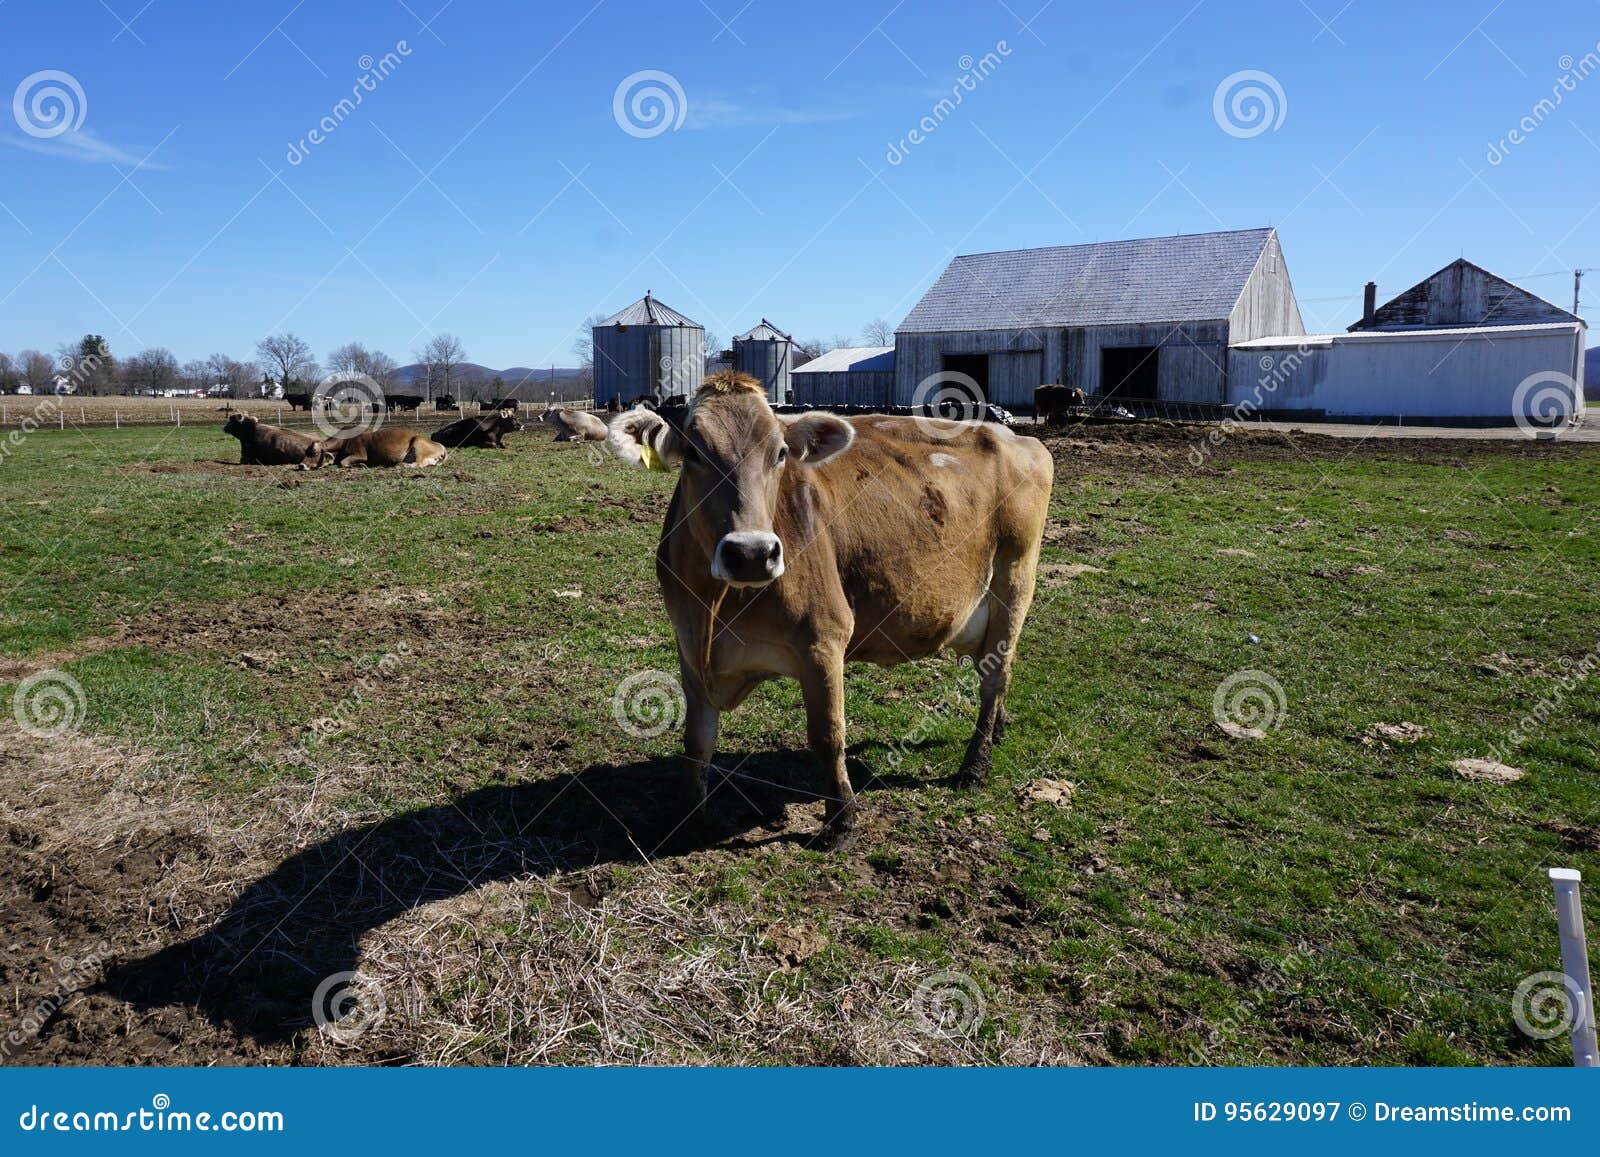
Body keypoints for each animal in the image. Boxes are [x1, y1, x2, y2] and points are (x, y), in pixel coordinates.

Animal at [305, 427, 449, 469]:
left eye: (313, 452)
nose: (302, 465)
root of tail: (441, 447)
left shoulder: (360, 454)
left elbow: (343, 462)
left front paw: (361, 465)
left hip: (418, 444)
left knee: (417, 464)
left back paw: (398, 465)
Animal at [607, 371, 1053, 849]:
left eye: (780, 453)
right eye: (693, 452)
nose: (751, 553)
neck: (718, 604)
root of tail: (1016, 436)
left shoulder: (823, 641)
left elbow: (827, 735)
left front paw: (842, 820)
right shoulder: (689, 646)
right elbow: (697, 740)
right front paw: (690, 817)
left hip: (1015, 579)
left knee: (994, 676)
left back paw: (975, 765)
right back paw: (999, 731)